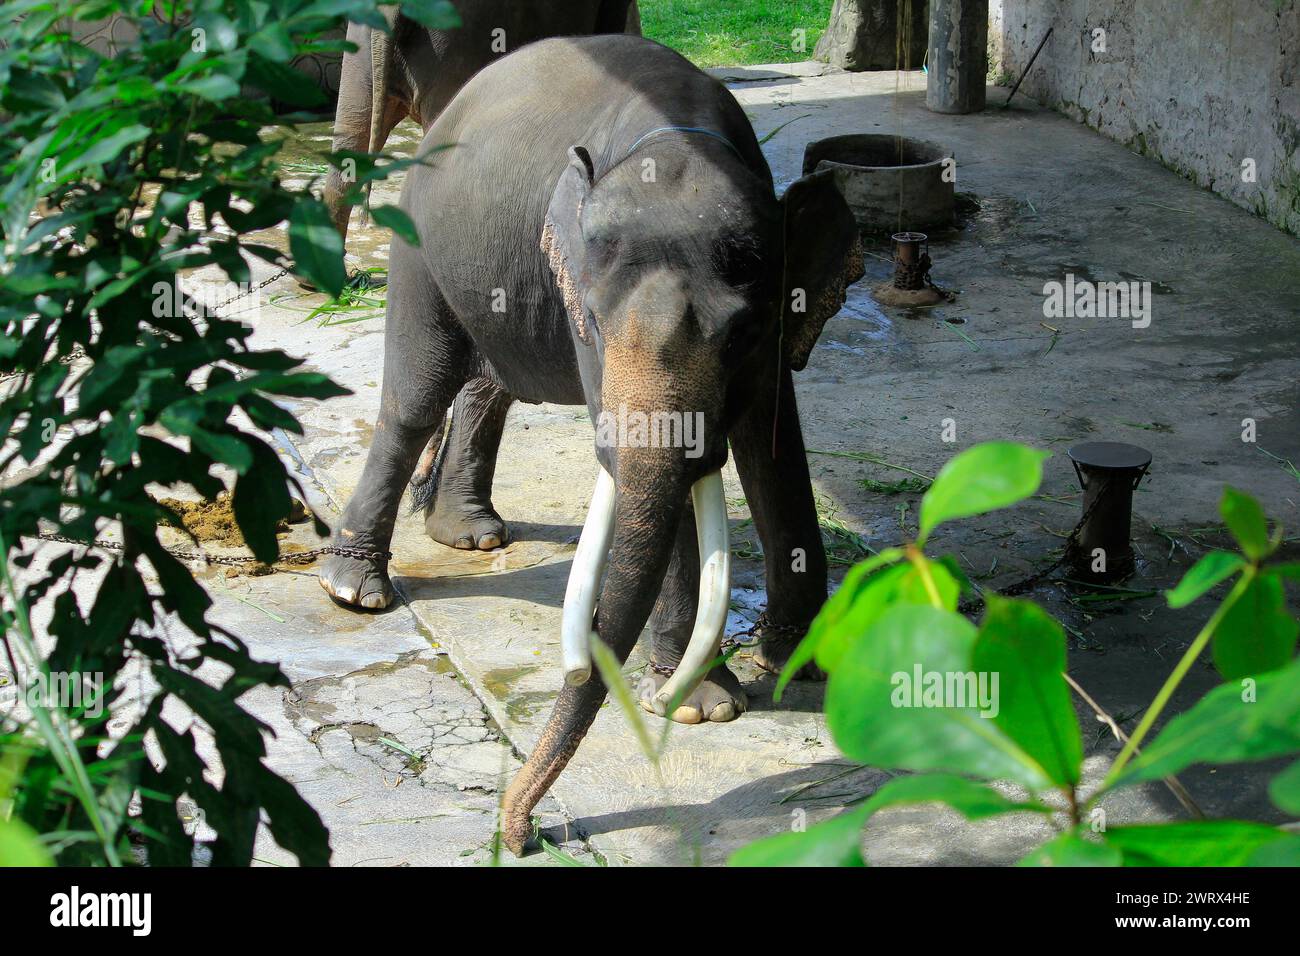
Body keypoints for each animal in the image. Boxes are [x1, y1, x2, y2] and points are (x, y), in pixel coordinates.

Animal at [316, 34, 863, 855]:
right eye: (600, 328)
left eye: (743, 334)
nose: (519, 834)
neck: (676, 147)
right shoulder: (574, 288)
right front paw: (701, 705)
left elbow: (773, 445)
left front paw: (797, 663)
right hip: (420, 246)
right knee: (415, 398)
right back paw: (356, 590)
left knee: (489, 381)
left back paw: (470, 535)